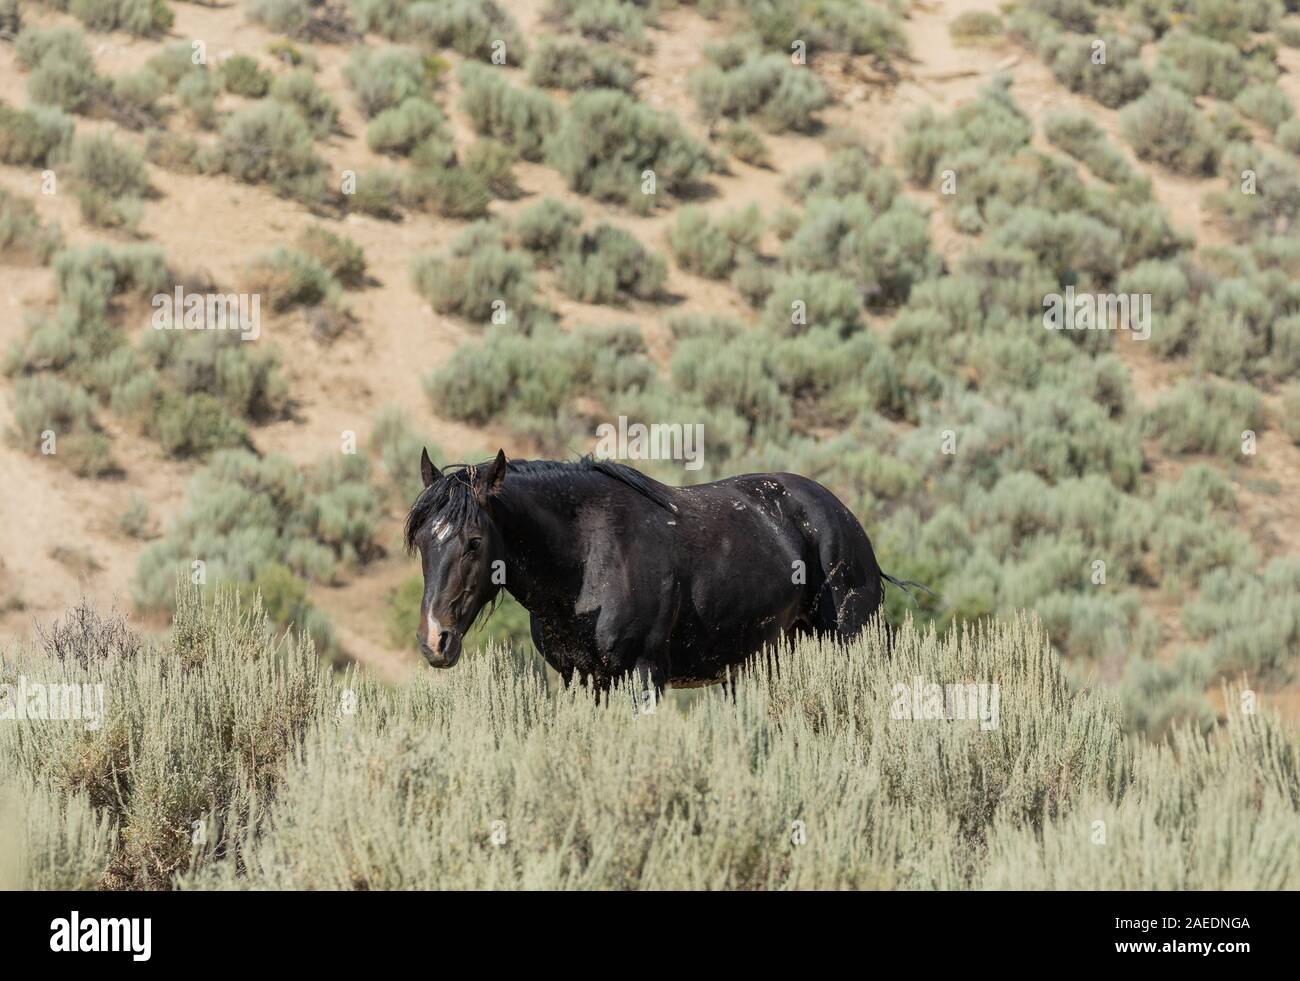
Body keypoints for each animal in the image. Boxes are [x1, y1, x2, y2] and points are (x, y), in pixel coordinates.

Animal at [405, 449, 920, 694]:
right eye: (423, 542)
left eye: (474, 542)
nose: (435, 640)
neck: (589, 556)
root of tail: (844, 518)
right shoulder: (580, 680)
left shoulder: (643, 675)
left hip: (849, 640)